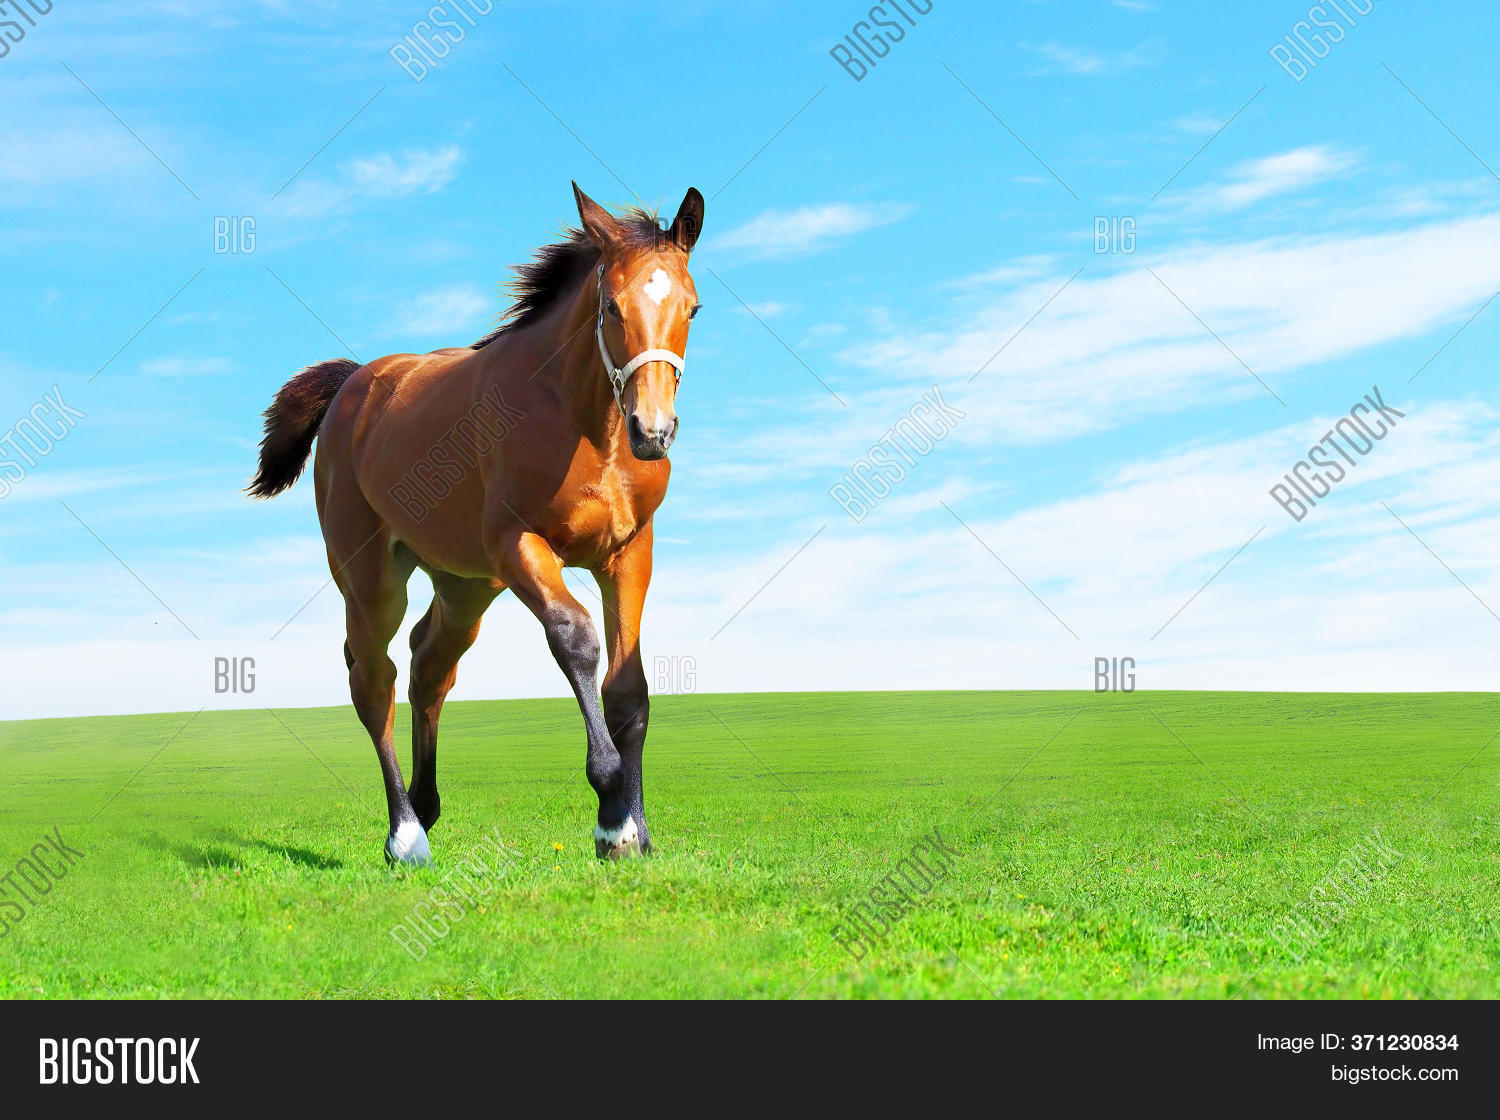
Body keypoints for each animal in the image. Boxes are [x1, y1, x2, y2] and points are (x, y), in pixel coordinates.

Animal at [249, 182, 705, 865]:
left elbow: (629, 687)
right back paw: (405, 833)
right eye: (611, 307)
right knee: (374, 677)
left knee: (429, 665)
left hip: (464, 586)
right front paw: (609, 808)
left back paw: (425, 806)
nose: (653, 431)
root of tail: (353, 384)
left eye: (693, 308)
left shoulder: (628, 553)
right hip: (371, 580)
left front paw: (636, 831)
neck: (581, 424)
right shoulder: (519, 547)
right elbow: (575, 637)